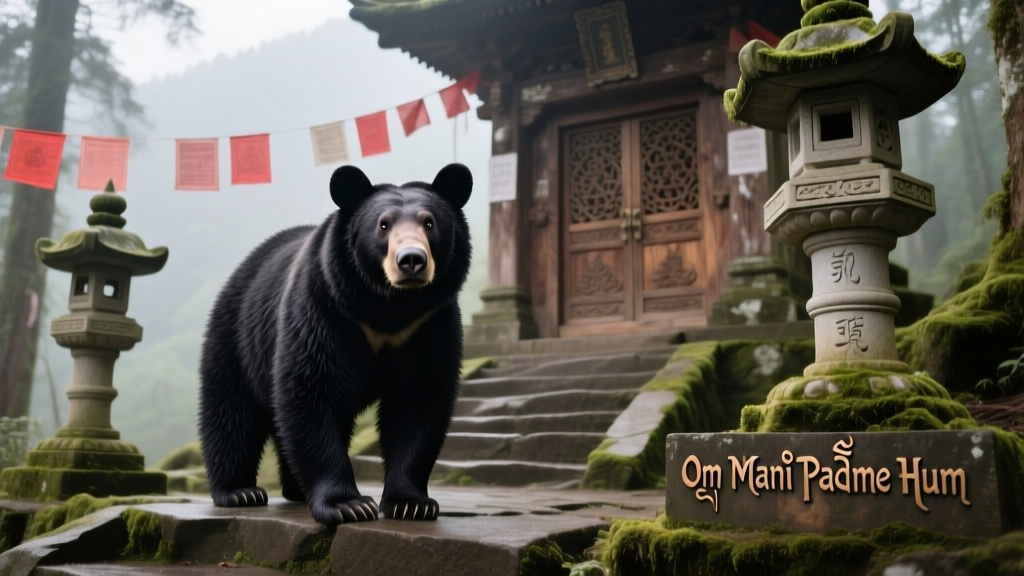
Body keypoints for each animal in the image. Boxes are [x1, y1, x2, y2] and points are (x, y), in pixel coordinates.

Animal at [198, 163, 472, 525]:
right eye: (383, 224)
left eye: (429, 223)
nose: (411, 260)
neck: (391, 308)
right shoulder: (324, 311)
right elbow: (312, 392)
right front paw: (349, 505)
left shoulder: (429, 324)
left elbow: (418, 400)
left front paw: (412, 504)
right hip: (236, 337)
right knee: (232, 411)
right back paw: (239, 491)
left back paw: (295, 489)